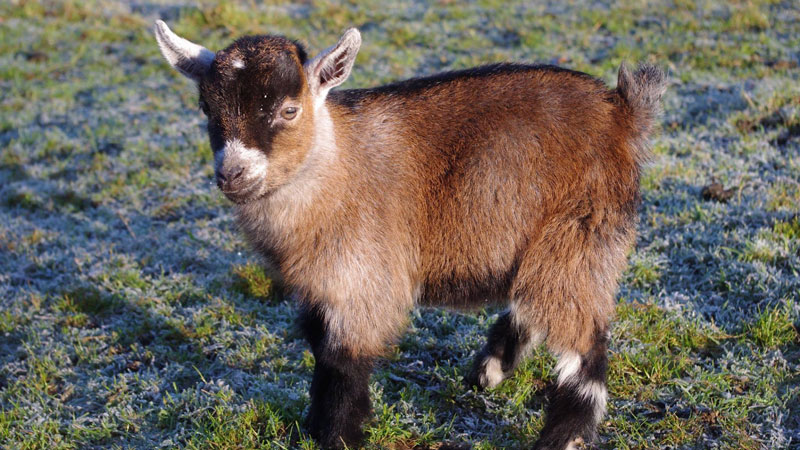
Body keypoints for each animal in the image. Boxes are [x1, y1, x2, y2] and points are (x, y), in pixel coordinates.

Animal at [154, 21, 666, 450]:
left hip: (580, 231)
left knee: (584, 342)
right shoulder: (320, 288)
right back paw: (488, 372)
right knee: (534, 304)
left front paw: (337, 436)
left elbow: (342, 358)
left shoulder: (362, 279)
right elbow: (320, 348)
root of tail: (621, 110)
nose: (233, 174)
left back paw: (563, 436)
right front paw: (317, 427)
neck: (334, 169)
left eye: (289, 109)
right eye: (206, 108)